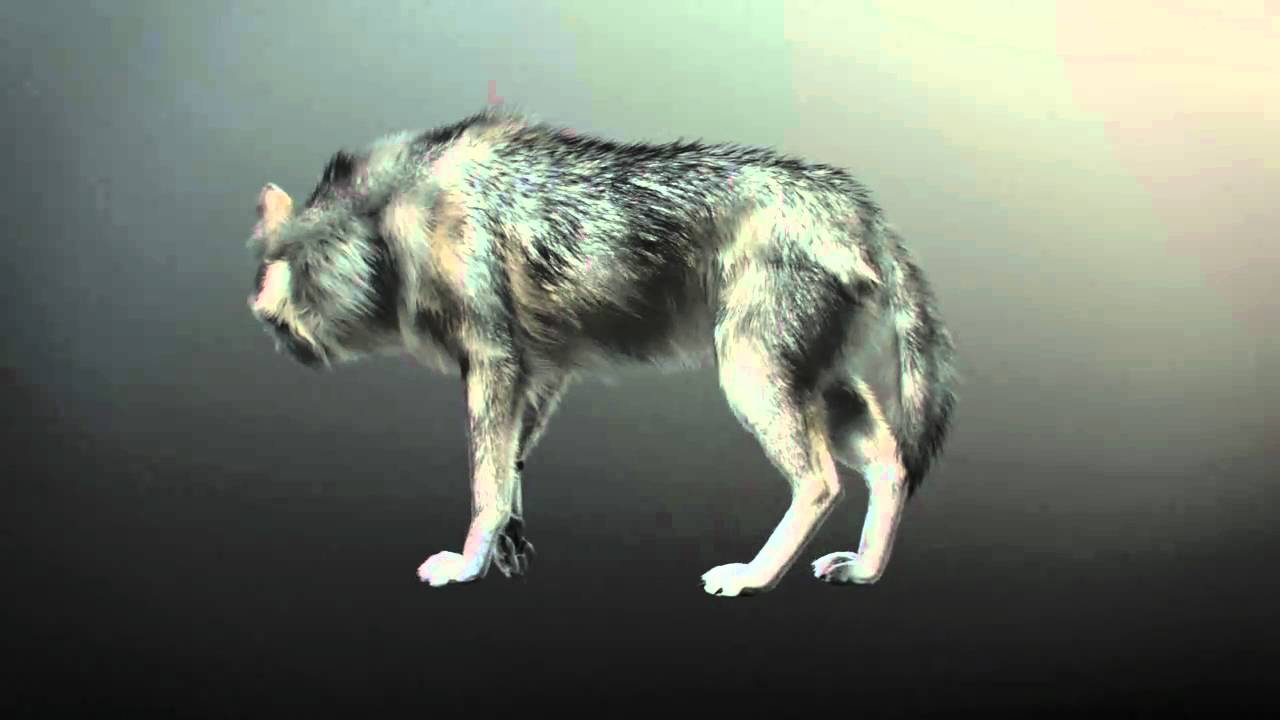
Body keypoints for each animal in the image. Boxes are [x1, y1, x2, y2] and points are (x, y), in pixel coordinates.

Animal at [245, 108, 957, 597]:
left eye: (295, 285)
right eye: (270, 294)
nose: (277, 331)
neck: (391, 224)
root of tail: (856, 208)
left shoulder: (492, 364)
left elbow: (485, 483)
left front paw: (468, 564)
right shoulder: (540, 373)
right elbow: (512, 468)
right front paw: (508, 549)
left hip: (754, 381)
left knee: (820, 481)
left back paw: (752, 576)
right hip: (819, 385)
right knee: (891, 464)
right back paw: (864, 569)